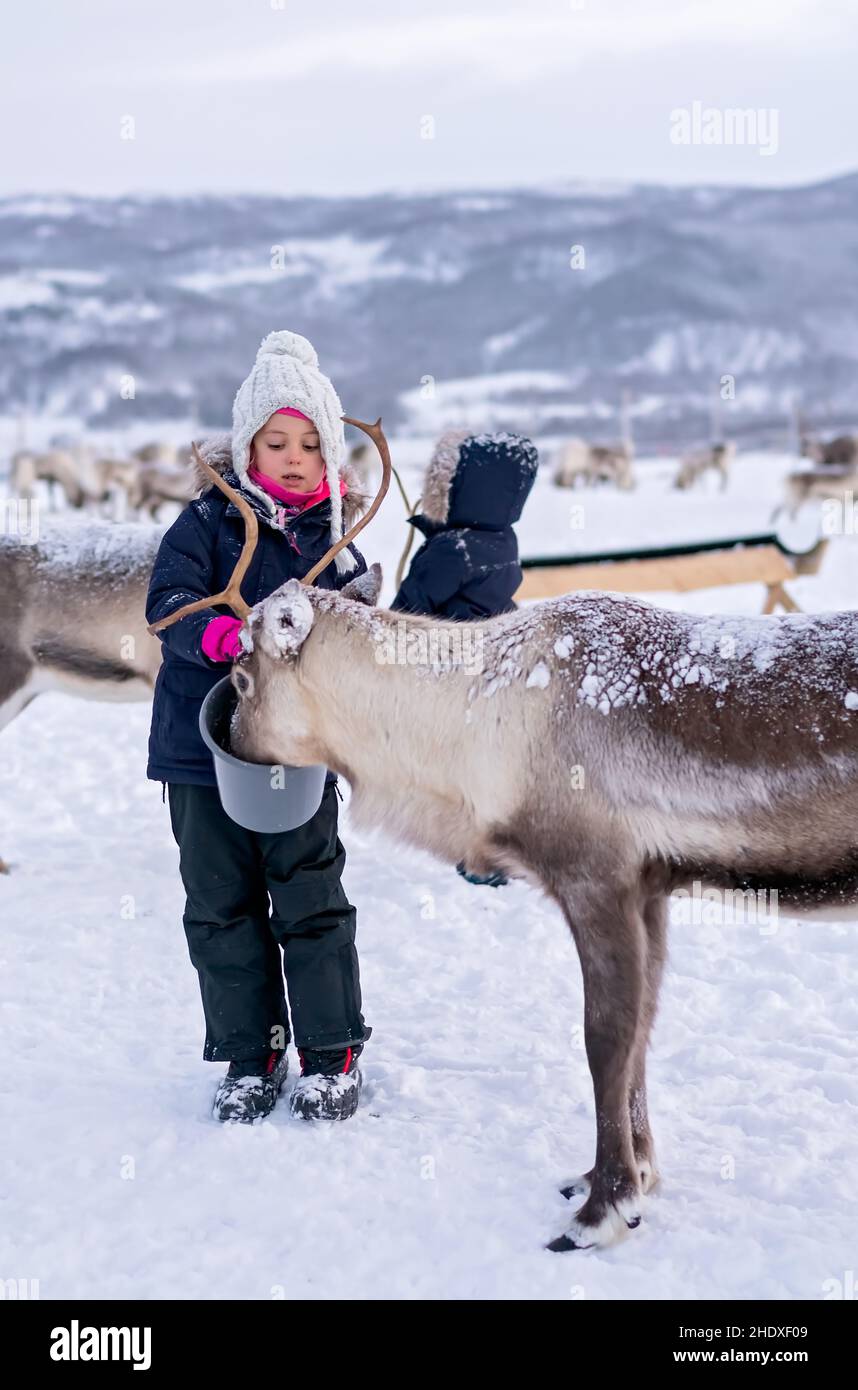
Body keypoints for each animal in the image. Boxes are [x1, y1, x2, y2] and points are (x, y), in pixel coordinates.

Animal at [151, 420, 858, 1254]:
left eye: (245, 673)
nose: (221, 742)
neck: (470, 721)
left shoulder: (595, 876)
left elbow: (606, 1039)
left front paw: (602, 1210)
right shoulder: (650, 886)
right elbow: (644, 1029)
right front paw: (634, 1175)